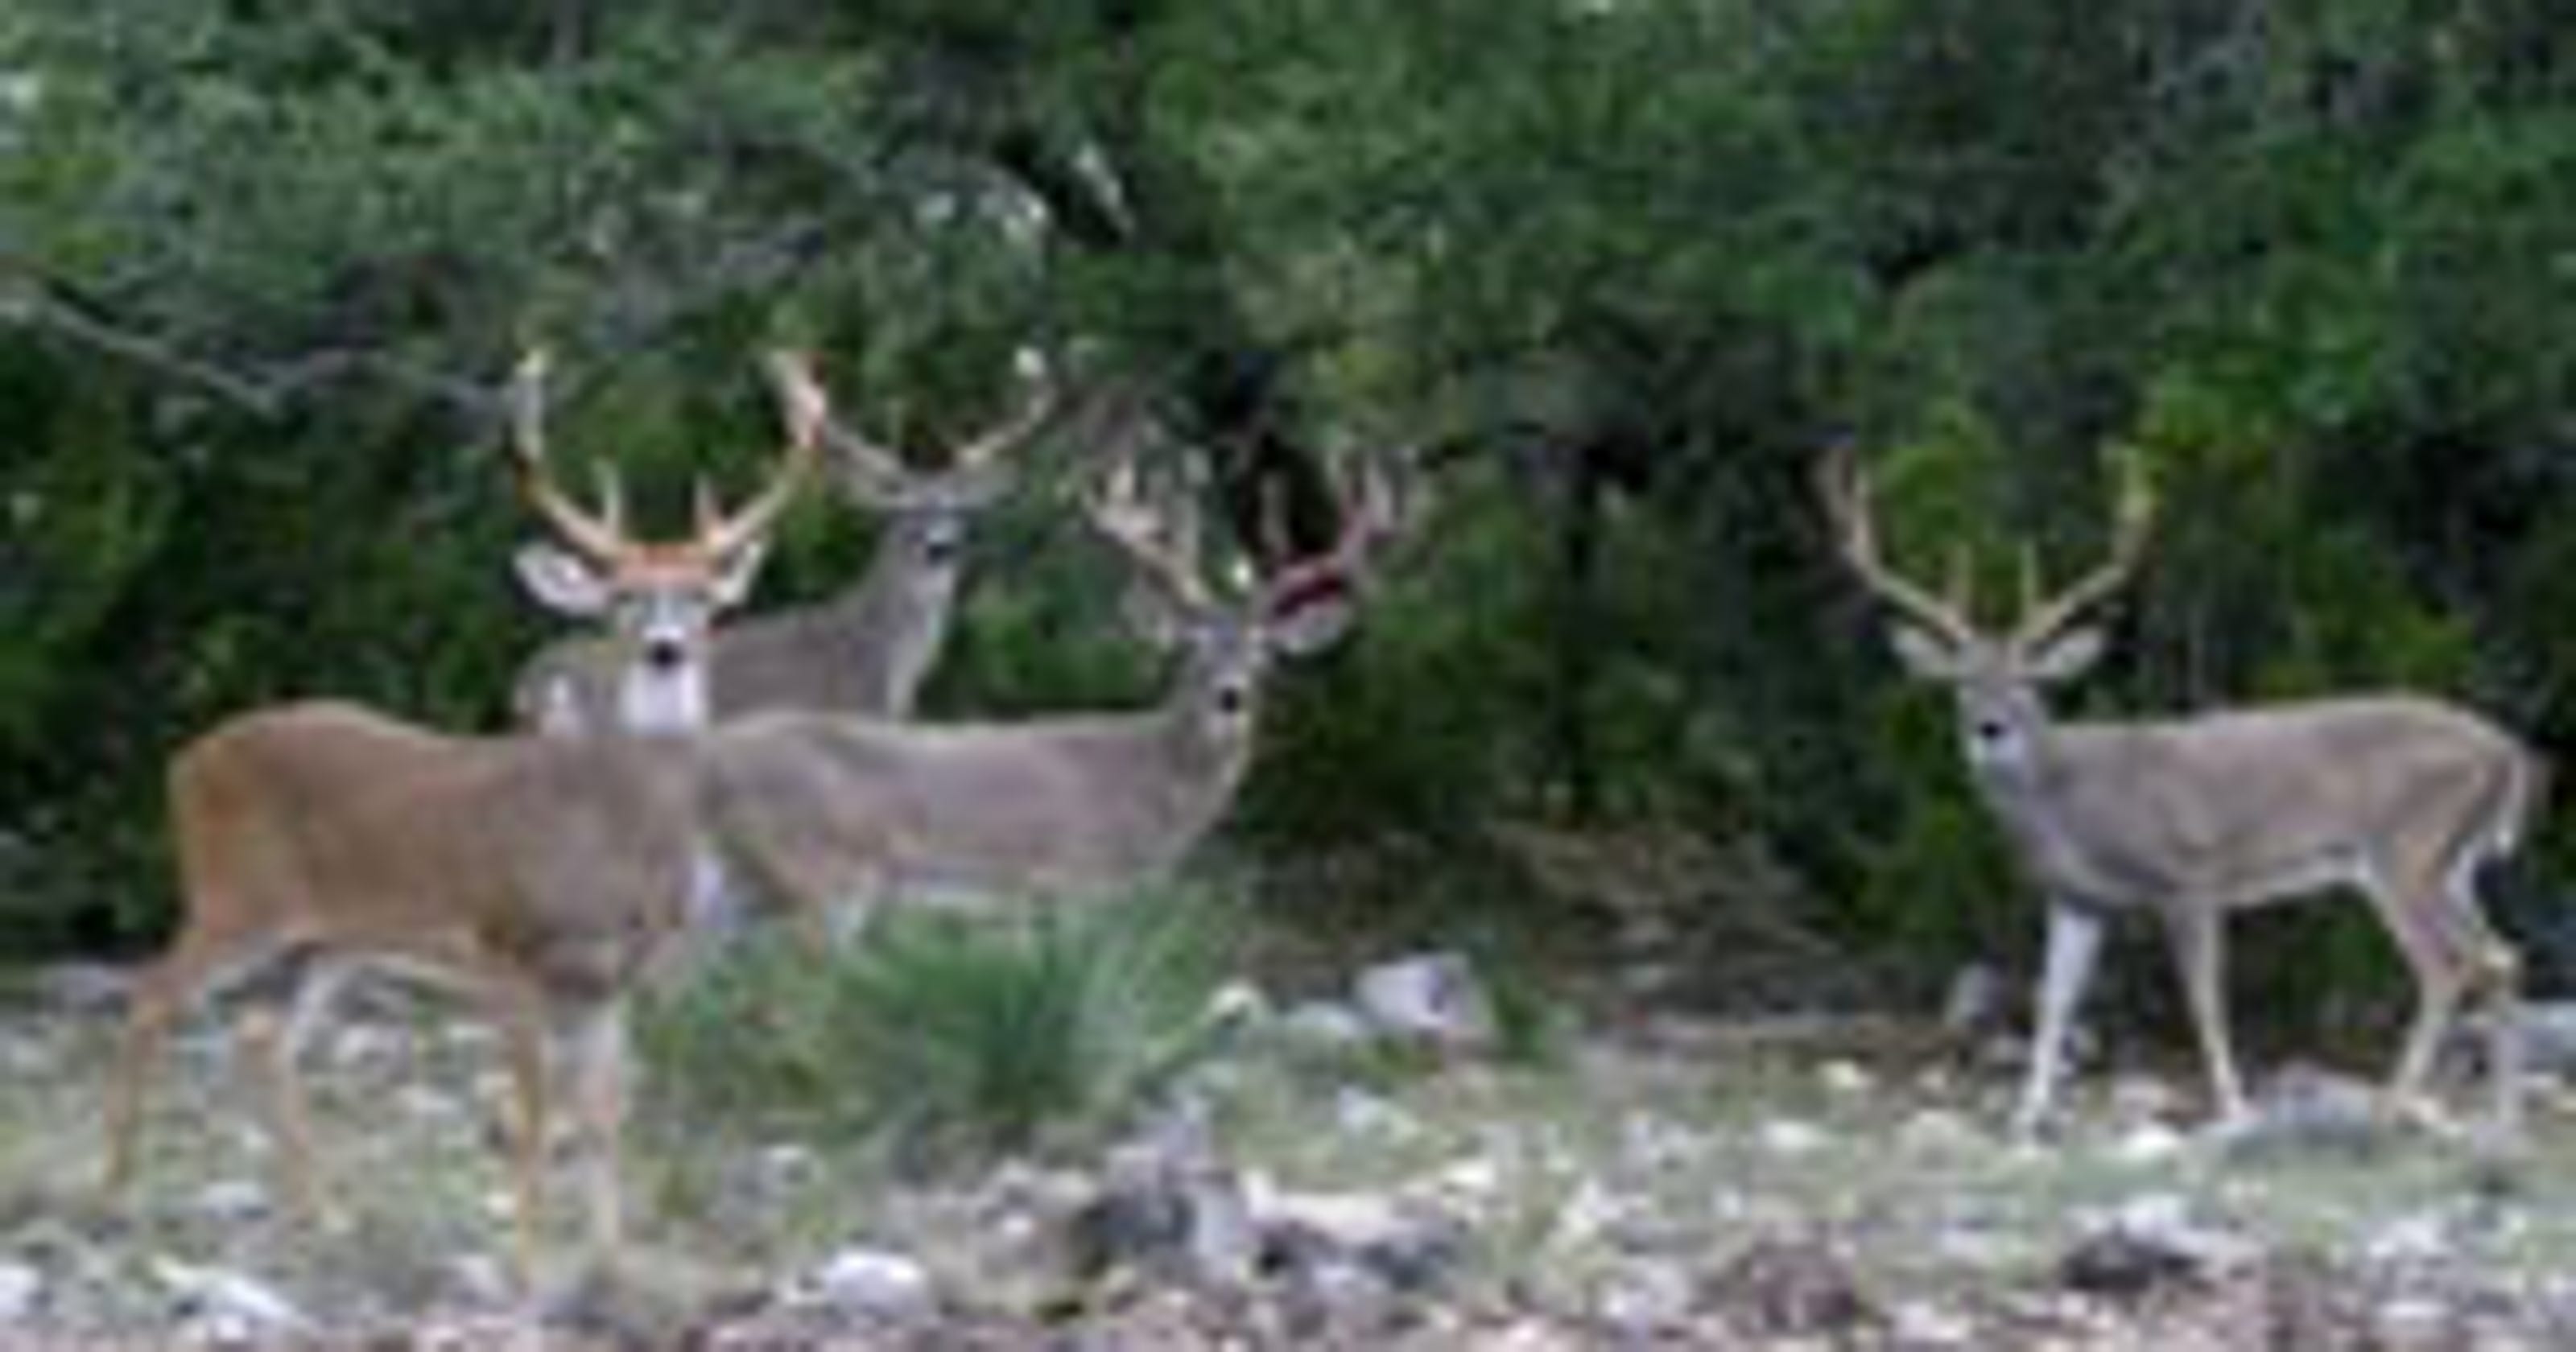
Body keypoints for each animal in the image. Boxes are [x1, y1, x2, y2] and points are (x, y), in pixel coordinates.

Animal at [100, 359, 813, 1279]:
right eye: (618, 598)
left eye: (701, 598)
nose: (665, 647)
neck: (612, 832)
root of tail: (184, 762)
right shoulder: (503, 948)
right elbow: (535, 1114)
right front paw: (528, 1266)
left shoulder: (611, 981)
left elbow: (607, 1116)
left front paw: (612, 1265)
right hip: (233, 896)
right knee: (149, 998)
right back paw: (113, 1196)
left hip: (329, 941)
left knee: (262, 1038)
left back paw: (323, 1218)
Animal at [1819, 448, 2538, 1141]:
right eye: (1961, 682)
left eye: (2030, 680)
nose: (1989, 728)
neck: (2076, 804)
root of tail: (2509, 755)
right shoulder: (2076, 900)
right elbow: (2052, 1003)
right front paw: (2026, 1118)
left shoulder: (2190, 875)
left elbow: (2204, 1001)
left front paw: (2235, 1110)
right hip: (2452, 866)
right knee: (2504, 954)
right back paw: (2499, 1119)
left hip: (2405, 852)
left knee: (2452, 965)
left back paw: (2396, 1111)